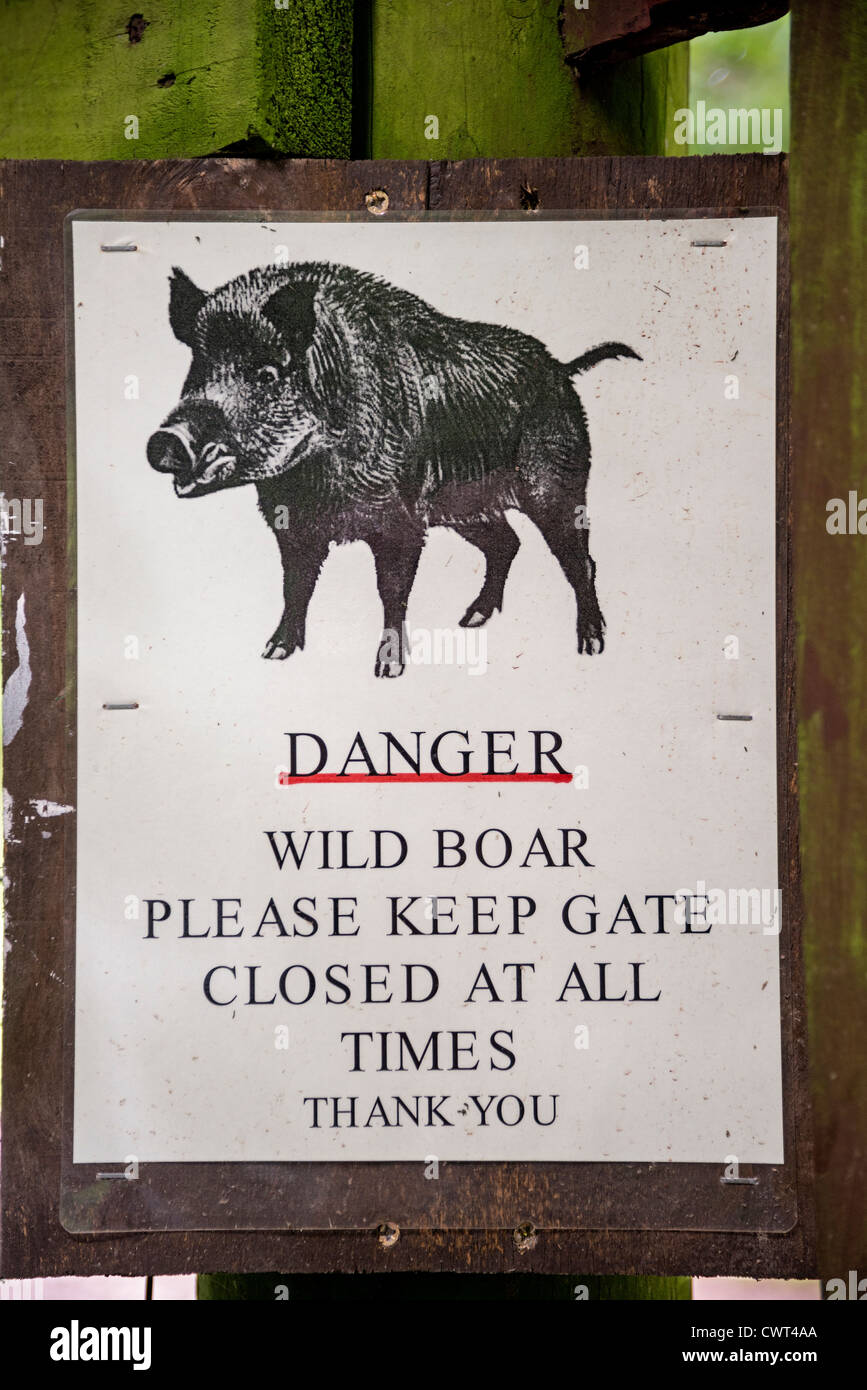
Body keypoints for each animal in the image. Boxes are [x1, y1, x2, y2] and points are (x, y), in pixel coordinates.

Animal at [146, 261, 641, 676]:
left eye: (266, 373)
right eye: (198, 369)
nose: (166, 440)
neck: (313, 476)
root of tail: (562, 369)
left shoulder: (400, 522)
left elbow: (392, 590)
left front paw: (387, 670)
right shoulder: (292, 525)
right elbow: (296, 585)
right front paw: (274, 652)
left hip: (559, 486)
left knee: (580, 560)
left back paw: (591, 645)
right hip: (467, 508)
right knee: (507, 543)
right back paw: (470, 619)